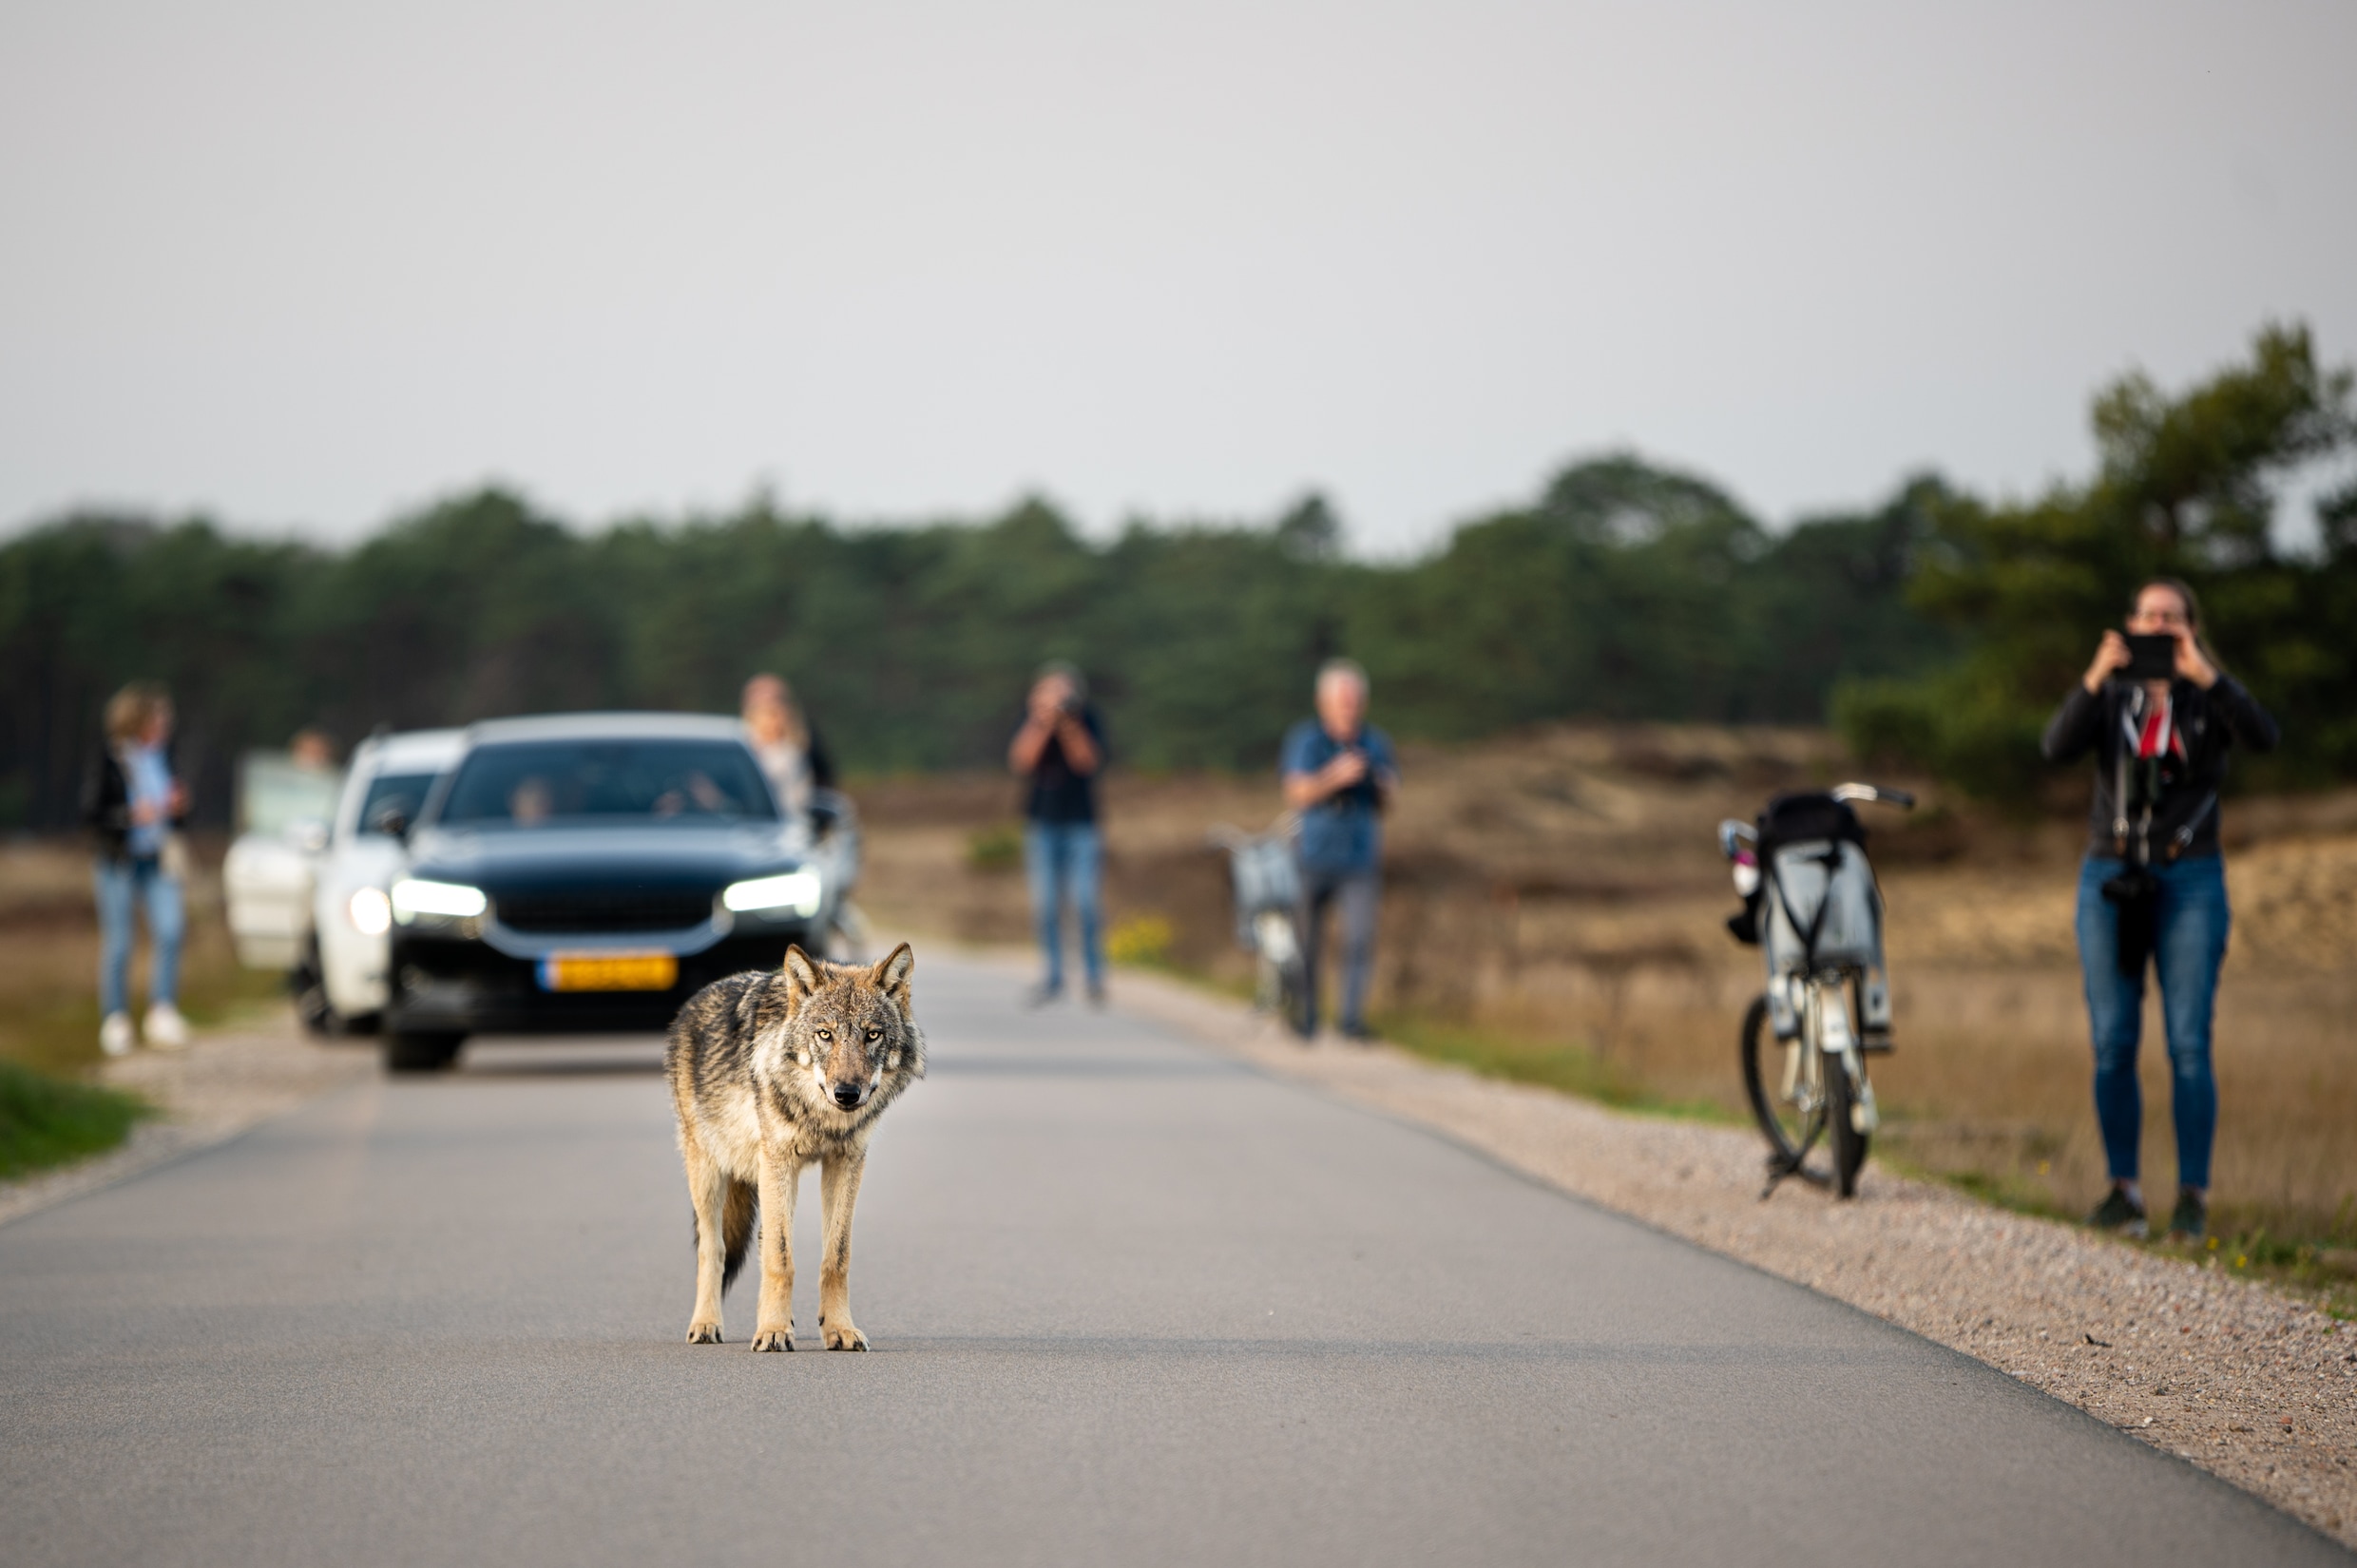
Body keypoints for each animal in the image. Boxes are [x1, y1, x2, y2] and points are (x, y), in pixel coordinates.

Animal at [665, 942, 924, 1350]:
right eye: (825, 1034)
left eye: (872, 1035)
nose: (847, 1093)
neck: (822, 1117)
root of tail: (692, 1003)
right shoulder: (779, 1160)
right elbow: (780, 1258)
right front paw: (773, 1331)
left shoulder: (845, 1162)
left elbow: (836, 1257)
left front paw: (839, 1329)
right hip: (709, 1169)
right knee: (713, 1248)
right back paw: (707, 1324)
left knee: (761, 1239)